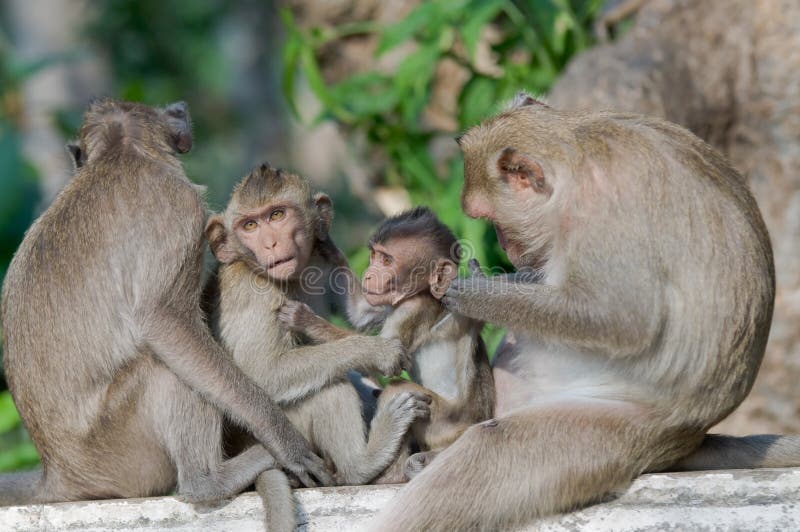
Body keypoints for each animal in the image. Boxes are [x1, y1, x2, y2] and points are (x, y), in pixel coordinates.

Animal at [0, 99, 332, 507]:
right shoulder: (183, 207)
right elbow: (164, 320)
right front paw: (283, 439)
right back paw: (208, 481)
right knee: (163, 361)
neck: (121, 153)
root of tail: (59, 474)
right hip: (122, 450)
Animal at [203, 164, 430, 531]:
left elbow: (363, 311)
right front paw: (378, 351)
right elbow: (264, 374)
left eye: (277, 215)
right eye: (250, 226)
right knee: (327, 385)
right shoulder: (255, 293)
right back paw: (363, 464)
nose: (270, 243)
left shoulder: (318, 264)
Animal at [278, 207, 496, 482]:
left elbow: (389, 353)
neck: (423, 291)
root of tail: (473, 425)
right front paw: (325, 243)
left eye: (387, 260)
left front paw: (303, 319)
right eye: (374, 255)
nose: (369, 274)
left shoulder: (412, 309)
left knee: (397, 388)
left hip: (443, 422)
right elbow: (361, 312)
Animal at [366, 93, 800, 531]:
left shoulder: (607, 216)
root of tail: (686, 438)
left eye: (493, 221)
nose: (504, 245)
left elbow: (626, 322)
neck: (576, 163)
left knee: (491, 448)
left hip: (617, 432)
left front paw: (475, 293)